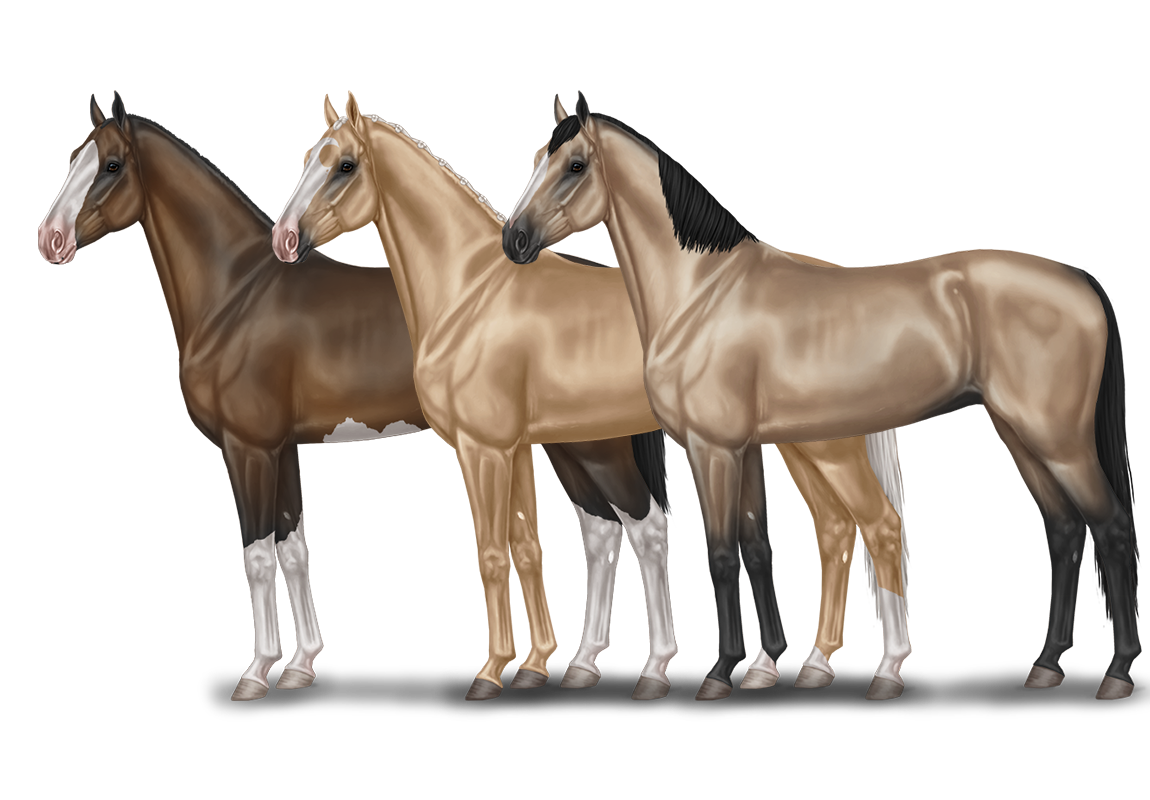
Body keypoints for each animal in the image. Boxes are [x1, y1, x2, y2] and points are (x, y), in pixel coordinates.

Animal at [37, 91, 673, 702]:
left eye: (111, 164)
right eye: (74, 161)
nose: (52, 240)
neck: (238, 292)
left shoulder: (249, 449)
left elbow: (258, 555)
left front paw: (257, 672)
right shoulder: (281, 450)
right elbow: (293, 549)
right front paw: (300, 665)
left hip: (591, 445)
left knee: (638, 528)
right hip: (562, 445)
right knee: (601, 533)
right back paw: (577, 663)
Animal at [272, 92, 917, 701]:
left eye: (344, 164)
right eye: (310, 159)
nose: (285, 240)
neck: (472, 290)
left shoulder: (485, 449)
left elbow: (492, 552)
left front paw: (492, 671)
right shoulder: (518, 449)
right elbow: (527, 546)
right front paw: (534, 665)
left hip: (823, 445)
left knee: (873, 526)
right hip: (790, 445)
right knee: (833, 531)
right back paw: (799, 663)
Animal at [503, 91, 1140, 700]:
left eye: (575, 164)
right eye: (541, 159)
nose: (514, 239)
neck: (703, 293)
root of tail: (1079, 281)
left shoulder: (714, 450)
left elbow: (721, 556)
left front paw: (721, 673)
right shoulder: (743, 451)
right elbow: (756, 547)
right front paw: (766, 662)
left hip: (1059, 441)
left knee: (1110, 528)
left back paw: (1119, 671)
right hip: (1021, 435)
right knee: (1062, 532)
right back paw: (1047, 663)